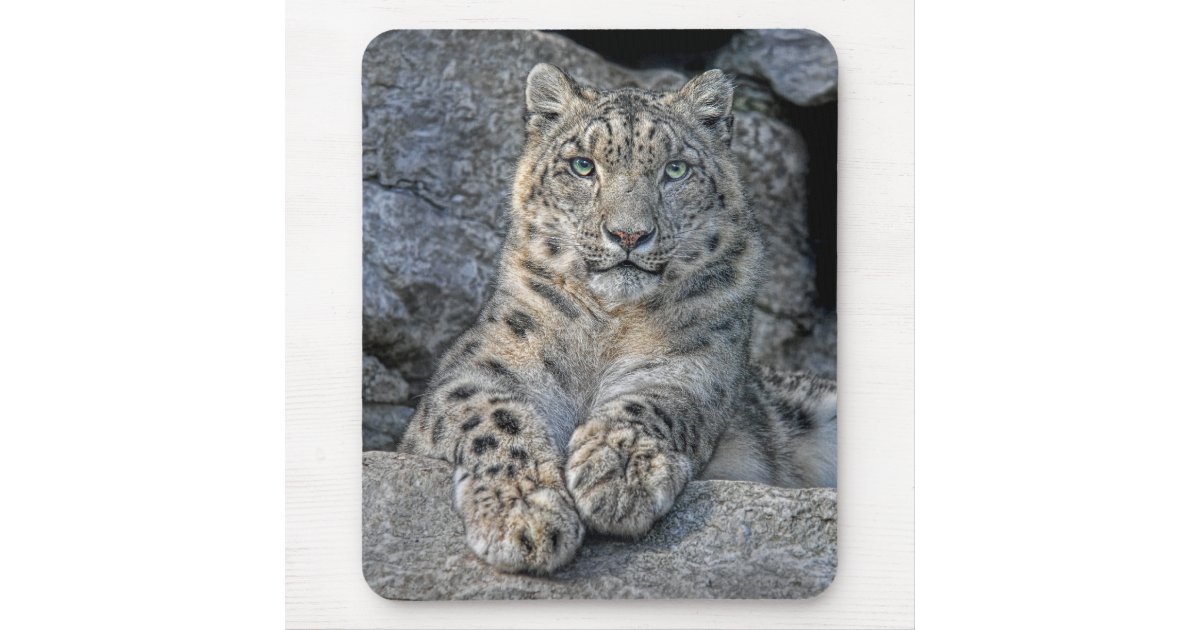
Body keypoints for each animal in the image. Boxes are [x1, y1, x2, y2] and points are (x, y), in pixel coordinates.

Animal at [398, 63, 836, 575]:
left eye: (675, 169)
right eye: (583, 165)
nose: (629, 234)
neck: (609, 325)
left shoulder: (695, 367)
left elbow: (652, 404)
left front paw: (617, 474)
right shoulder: (479, 368)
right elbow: (494, 416)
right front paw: (524, 515)